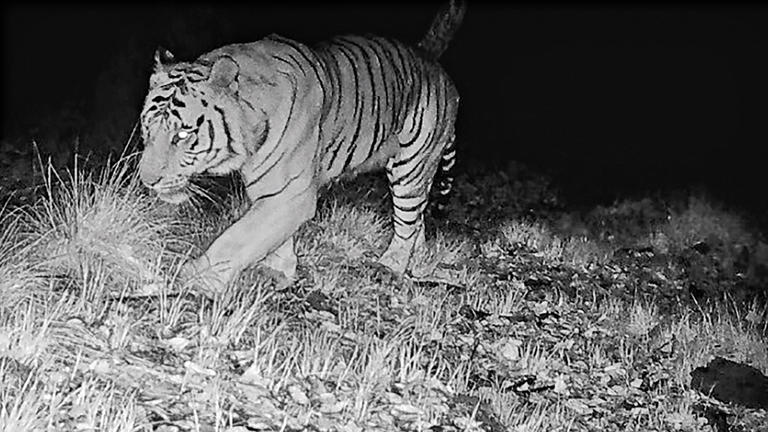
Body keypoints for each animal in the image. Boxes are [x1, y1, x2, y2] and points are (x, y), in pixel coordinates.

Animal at [138, 0, 466, 295]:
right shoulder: (273, 190)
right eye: (147, 127)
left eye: (183, 134)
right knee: (417, 219)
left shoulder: (290, 193)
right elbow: (272, 237)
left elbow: (238, 238)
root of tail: (427, 54)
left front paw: (196, 278)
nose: (147, 180)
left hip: (411, 167)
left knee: (408, 220)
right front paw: (278, 271)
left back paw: (390, 266)